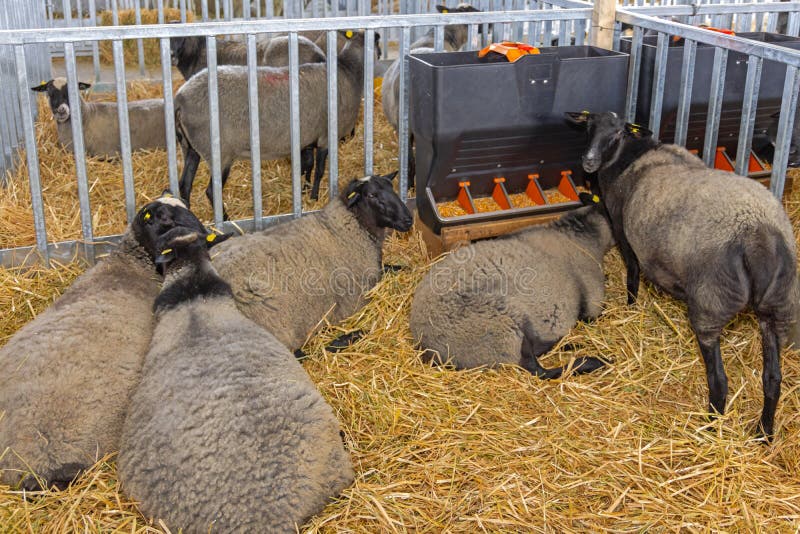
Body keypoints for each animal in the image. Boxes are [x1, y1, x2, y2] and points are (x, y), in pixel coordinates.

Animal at [175, 30, 370, 214]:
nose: (172, 55)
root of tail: (179, 99)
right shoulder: (319, 135)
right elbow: (316, 168)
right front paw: (311, 196)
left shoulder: (308, 135)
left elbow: (309, 165)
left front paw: (305, 192)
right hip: (217, 152)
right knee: (210, 191)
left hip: (191, 148)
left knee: (185, 186)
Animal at [211, 172, 413, 352]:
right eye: (372, 195)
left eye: (392, 188)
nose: (408, 219)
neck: (347, 226)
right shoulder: (358, 295)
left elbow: (396, 268)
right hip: (274, 322)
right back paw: (350, 337)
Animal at [565, 110, 800, 439]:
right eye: (589, 126)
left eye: (617, 133)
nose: (588, 161)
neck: (631, 156)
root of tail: (760, 236)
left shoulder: (623, 230)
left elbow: (632, 272)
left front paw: (630, 305)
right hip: (774, 307)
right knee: (773, 379)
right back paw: (763, 434)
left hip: (710, 304)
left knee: (719, 381)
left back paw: (709, 428)